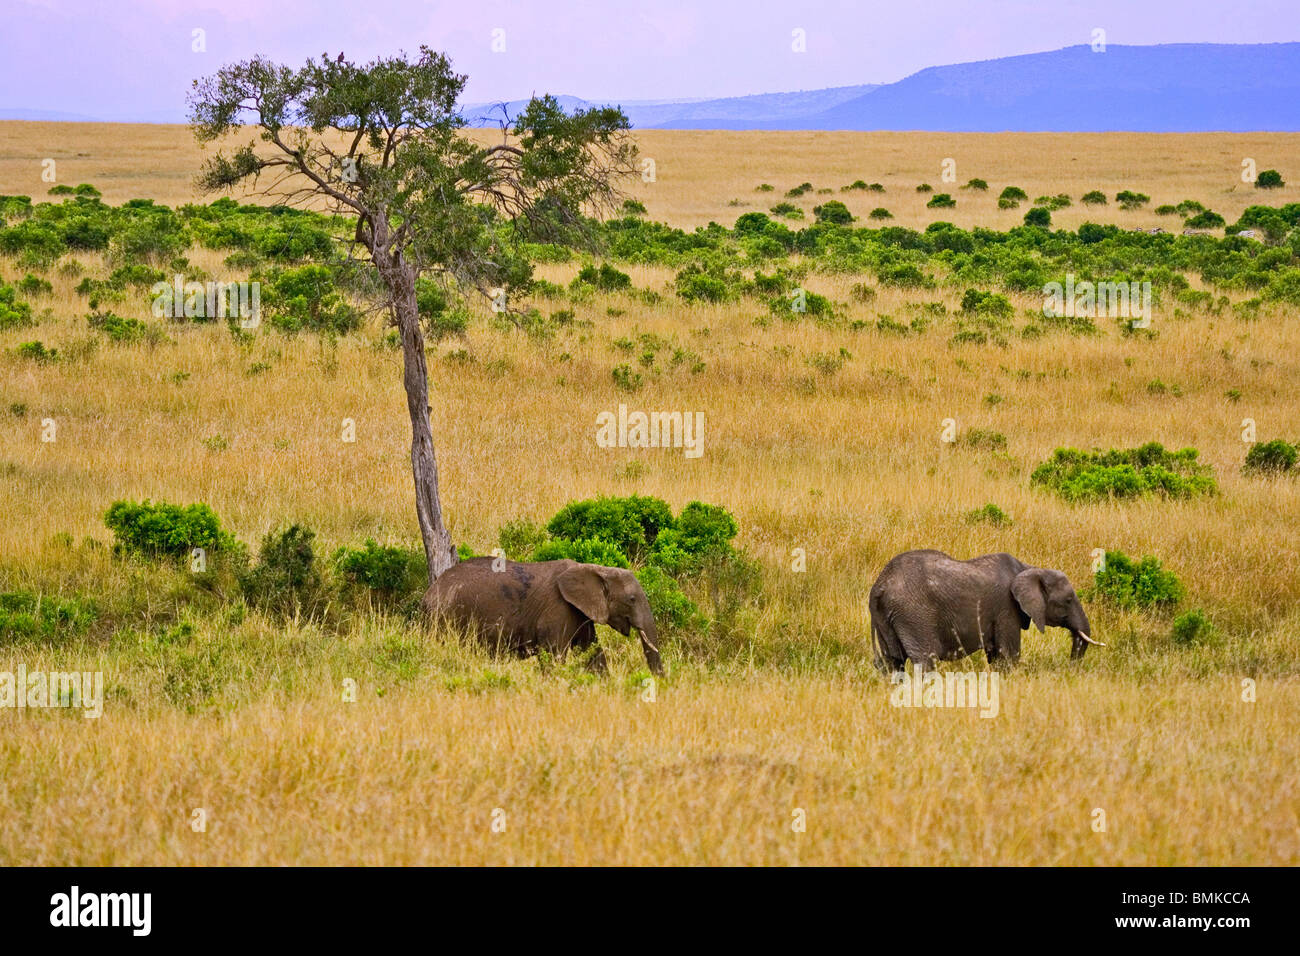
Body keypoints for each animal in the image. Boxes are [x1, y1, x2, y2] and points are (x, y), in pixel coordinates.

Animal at [422, 557, 663, 675]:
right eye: (632, 599)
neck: (595, 569)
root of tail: (428, 592)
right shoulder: (558, 609)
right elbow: (555, 656)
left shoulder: (579, 613)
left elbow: (593, 652)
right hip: (444, 617)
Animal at [869, 550, 1103, 669]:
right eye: (1069, 600)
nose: (1070, 668)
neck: (1029, 568)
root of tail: (879, 587)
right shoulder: (1006, 608)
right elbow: (1008, 655)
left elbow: (996, 656)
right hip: (914, 614)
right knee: (925, 660)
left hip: (886, 618)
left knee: (893, 662)